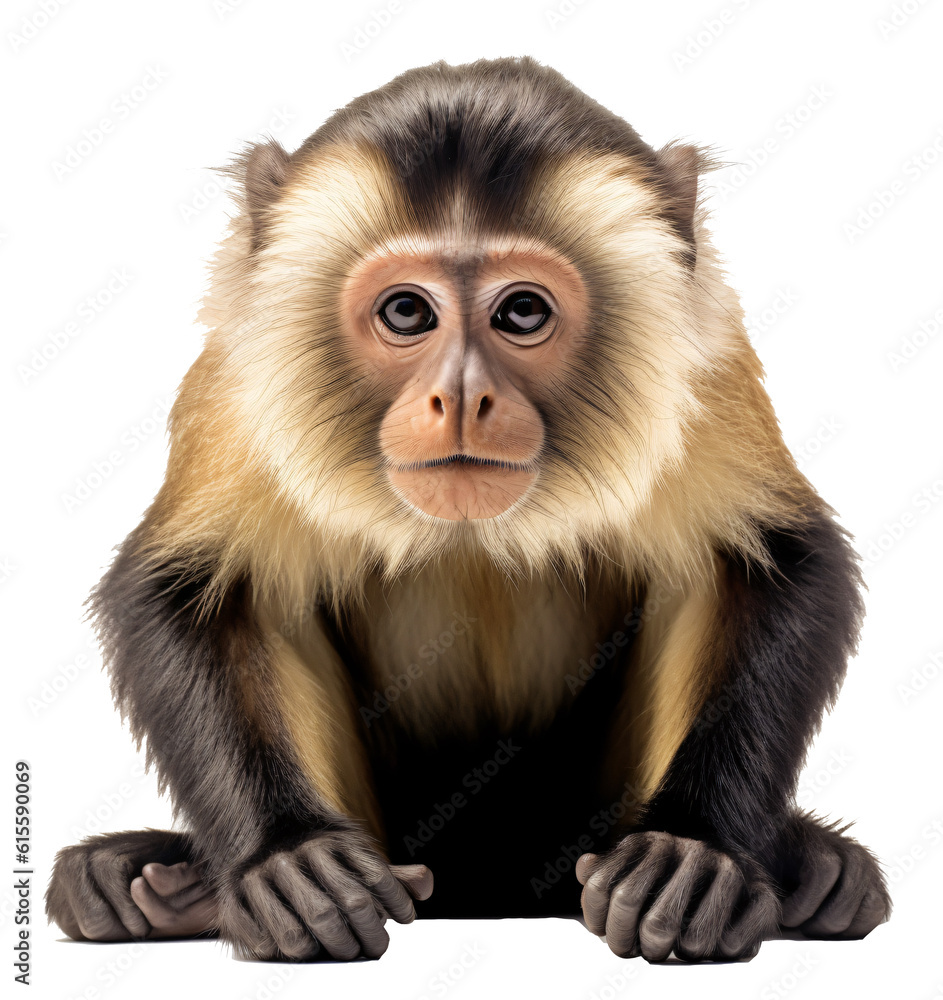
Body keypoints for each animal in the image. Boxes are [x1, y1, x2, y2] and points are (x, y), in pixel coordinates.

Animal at [46, 56, 891, 964]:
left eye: (521, 311)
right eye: (406, 311)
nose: (460, 397)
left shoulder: (700, 356)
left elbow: (767, 561)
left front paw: (693, 852)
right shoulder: (245, 370)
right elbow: (198, 588)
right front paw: (286, 858)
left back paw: (812, 873)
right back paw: (160, 887)